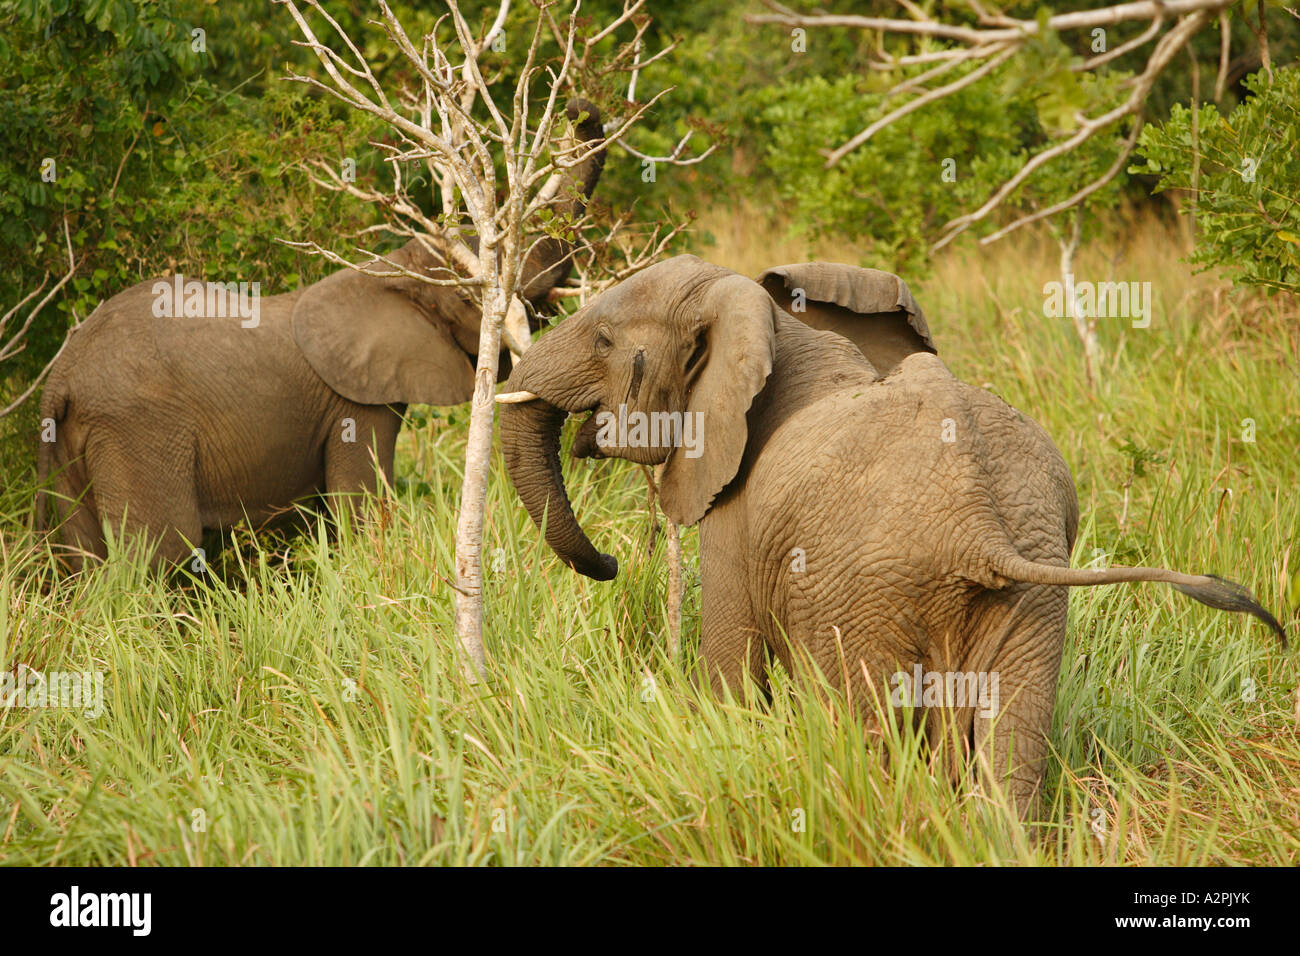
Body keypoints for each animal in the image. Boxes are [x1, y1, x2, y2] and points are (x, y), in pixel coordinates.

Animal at [37, 101, 606, 570]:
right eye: (474, 296)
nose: (574, 110)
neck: (392, 270)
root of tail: (61, 374)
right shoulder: (355, 405)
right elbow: (360, 506)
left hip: (75, 440)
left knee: (81, 554)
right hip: (138, 430)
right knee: (159, 554)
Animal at [498, 254, 1285, 814]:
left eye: (604, 339)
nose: (608, 563)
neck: (775, 327)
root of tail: (976, 522)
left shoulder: (735, 509)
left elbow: (730, 663)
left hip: (863, 591)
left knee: (870, 728)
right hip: (1029, 586)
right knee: (1013, 735)